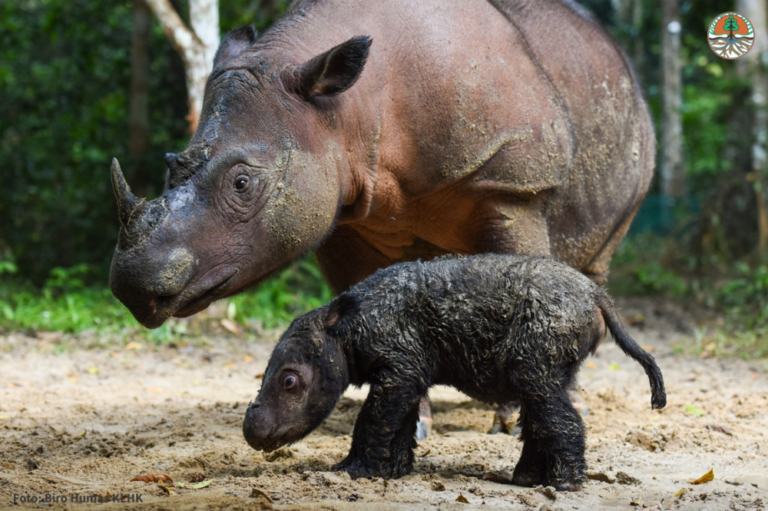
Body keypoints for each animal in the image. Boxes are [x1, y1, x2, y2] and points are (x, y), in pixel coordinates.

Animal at [109, 0, 653, 429]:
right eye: (169, 164)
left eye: (242, 183)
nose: (133, 285)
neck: (343, 111)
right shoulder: (340, 211)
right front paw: (410, 418)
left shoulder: (512, 185)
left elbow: (528, 273)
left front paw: (515, 420)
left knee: (590, 266)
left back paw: (565, 399)